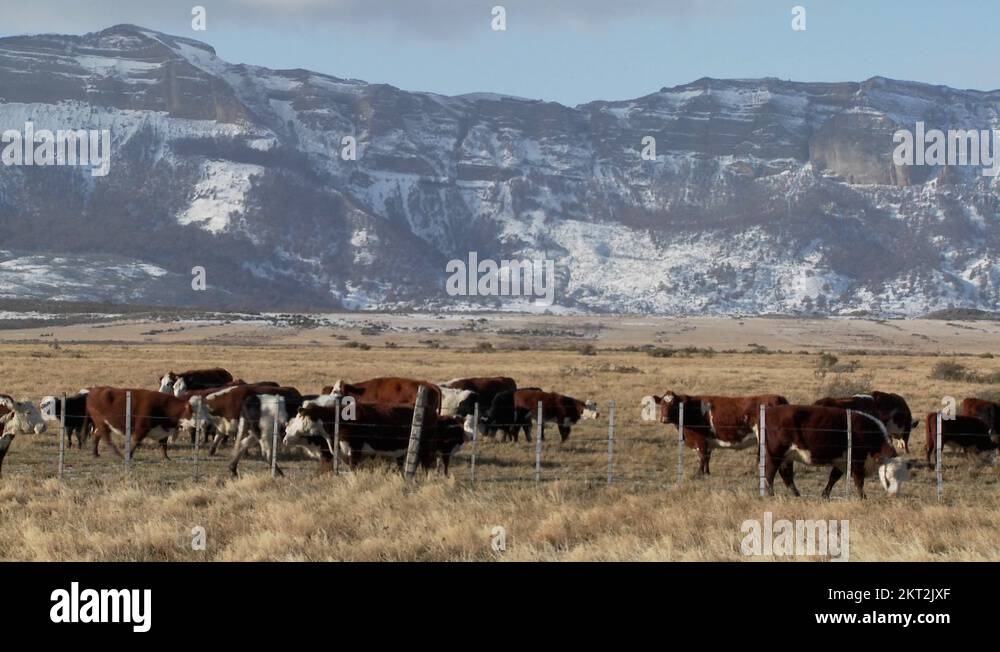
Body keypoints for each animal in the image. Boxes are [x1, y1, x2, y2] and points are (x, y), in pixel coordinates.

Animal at [283, 403, 471, 474]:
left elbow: (354, 470)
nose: (284, 438)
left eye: (298, 417)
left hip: (428, 449)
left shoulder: (355, 449)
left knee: (430, 466)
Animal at [656, 391, 789, 474]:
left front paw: (698, 474)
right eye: (661, 404)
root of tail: (779, 398)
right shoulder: (708, 441)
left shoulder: (700, 440)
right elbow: (707, 457)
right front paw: (707, 473)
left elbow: (702, 457)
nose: (664, 419)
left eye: (673, 405)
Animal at [757, 404, 909, 498]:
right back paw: (771, 494)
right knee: (769, 473)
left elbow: (833, 478)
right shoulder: (856, 461)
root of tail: (769, 412)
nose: (894, 495)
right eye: (889, 477)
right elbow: (859, 481)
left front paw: (825, 495)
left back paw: (797, 495)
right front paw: (863, 498)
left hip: (786, 456)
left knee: (785, 475)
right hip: (775, 454)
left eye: (902, 479)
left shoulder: (842, 461)